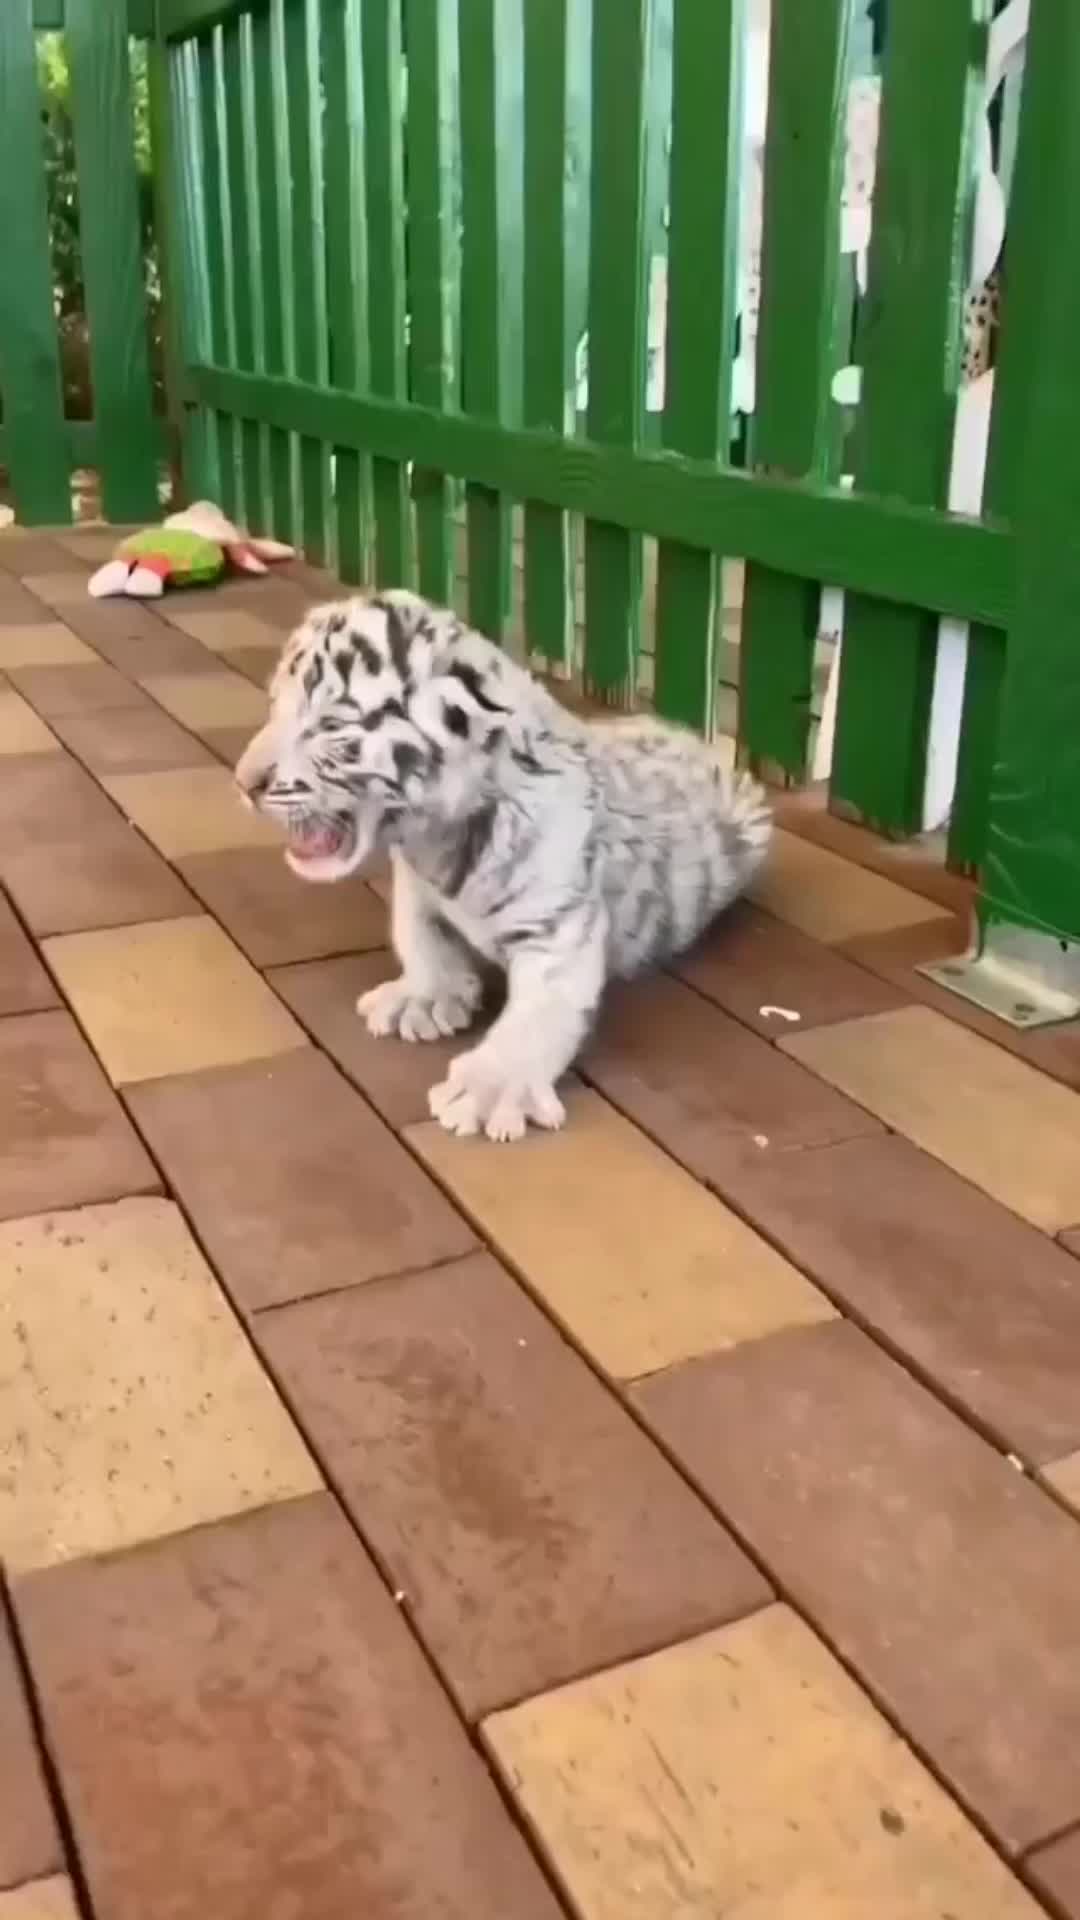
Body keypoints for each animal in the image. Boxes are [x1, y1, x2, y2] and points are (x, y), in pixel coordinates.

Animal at [235, 589, 772, 1142]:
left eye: (330, 726)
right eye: (274, 705)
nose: (244, 783)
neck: (435, 838)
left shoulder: (558, 929)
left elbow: (535, 1018)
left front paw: (487, 1090)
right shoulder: (415, 884)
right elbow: (418, 935)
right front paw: (423, 997)